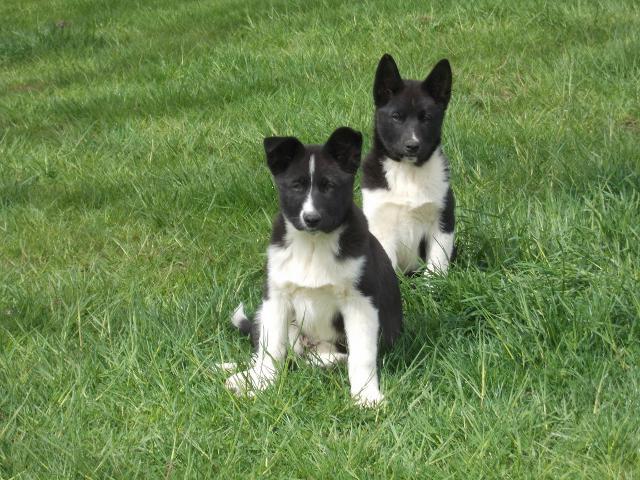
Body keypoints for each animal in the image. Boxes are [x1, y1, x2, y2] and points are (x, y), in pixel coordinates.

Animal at [225, 127, 402, 404]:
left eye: (329, 186)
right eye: (296, 186)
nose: (311, 218)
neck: (313, 244)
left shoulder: (360, 302)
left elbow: (362, 356)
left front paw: (366, 396)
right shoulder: (276, 298)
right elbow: (270, 350)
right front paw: (261, 385)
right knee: (271, 353)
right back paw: (240, 375)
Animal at [362, 53, 458, 274]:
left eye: (427, 118)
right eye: (396, 117)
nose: (412, 146)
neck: (408, 172)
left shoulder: (442, 220)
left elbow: (437, 263)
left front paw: (433, 283)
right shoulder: (381, 224)